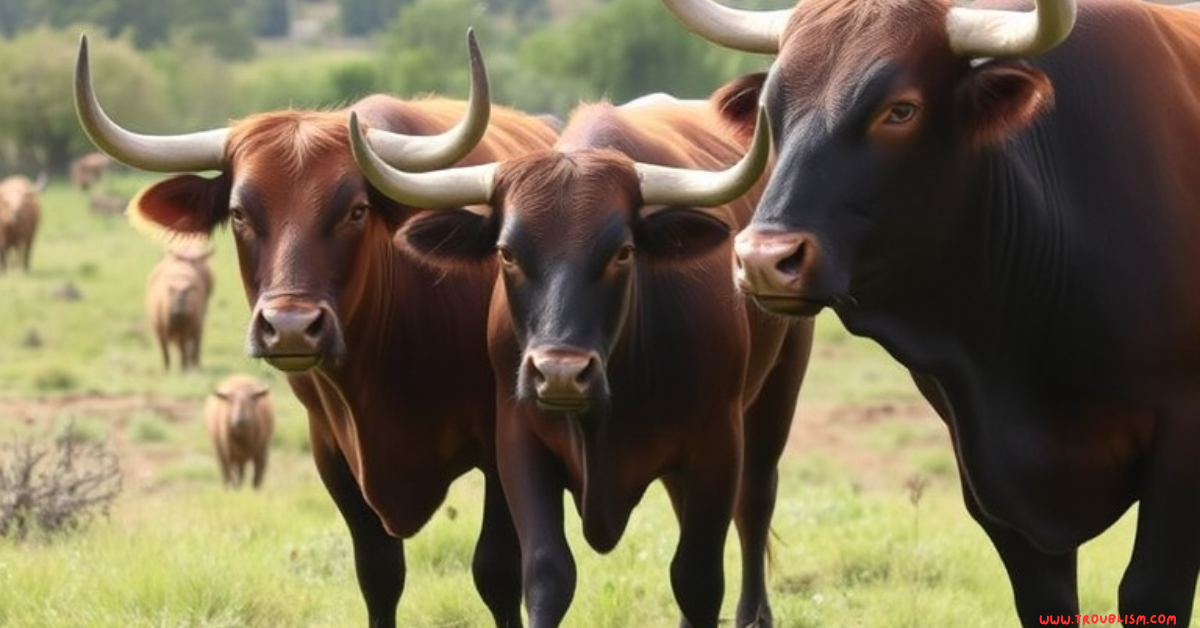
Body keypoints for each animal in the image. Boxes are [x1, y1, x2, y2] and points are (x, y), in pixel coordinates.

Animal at [75, 31, 557, 628]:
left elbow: (497, 572)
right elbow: (379, 574)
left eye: (355, 211)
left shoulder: (500, 442)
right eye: (239, 212)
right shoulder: (333, 454)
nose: (290, 327)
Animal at [349, 88, 813, 628]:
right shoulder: (518, 441)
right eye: (506, 252)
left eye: (623, 252)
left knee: (756, 501)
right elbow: (548, 573)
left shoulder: (717, 442)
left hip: (778, 389)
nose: (560, 374)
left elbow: (697, 578)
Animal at [661, 0, 1200, 623]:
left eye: (901, 110)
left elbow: (1149, 591)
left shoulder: (1182, 437)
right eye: (772, 112)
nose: (764, 260)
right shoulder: (988, 475)